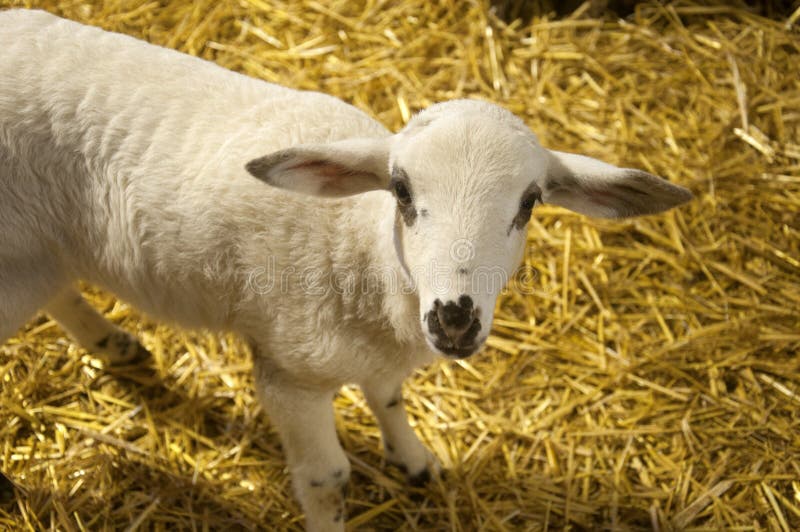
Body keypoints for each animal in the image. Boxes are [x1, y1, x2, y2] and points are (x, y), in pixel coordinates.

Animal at [0, 9, 692, 531]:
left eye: (529, 204)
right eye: (402, 191)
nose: (455, 319)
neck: (360, 254)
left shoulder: (381, 354)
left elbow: (388, 396)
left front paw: (413, 459)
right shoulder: (290, 378)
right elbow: (328, 478)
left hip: (41, 251)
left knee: (58, 290)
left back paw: (113, 344)